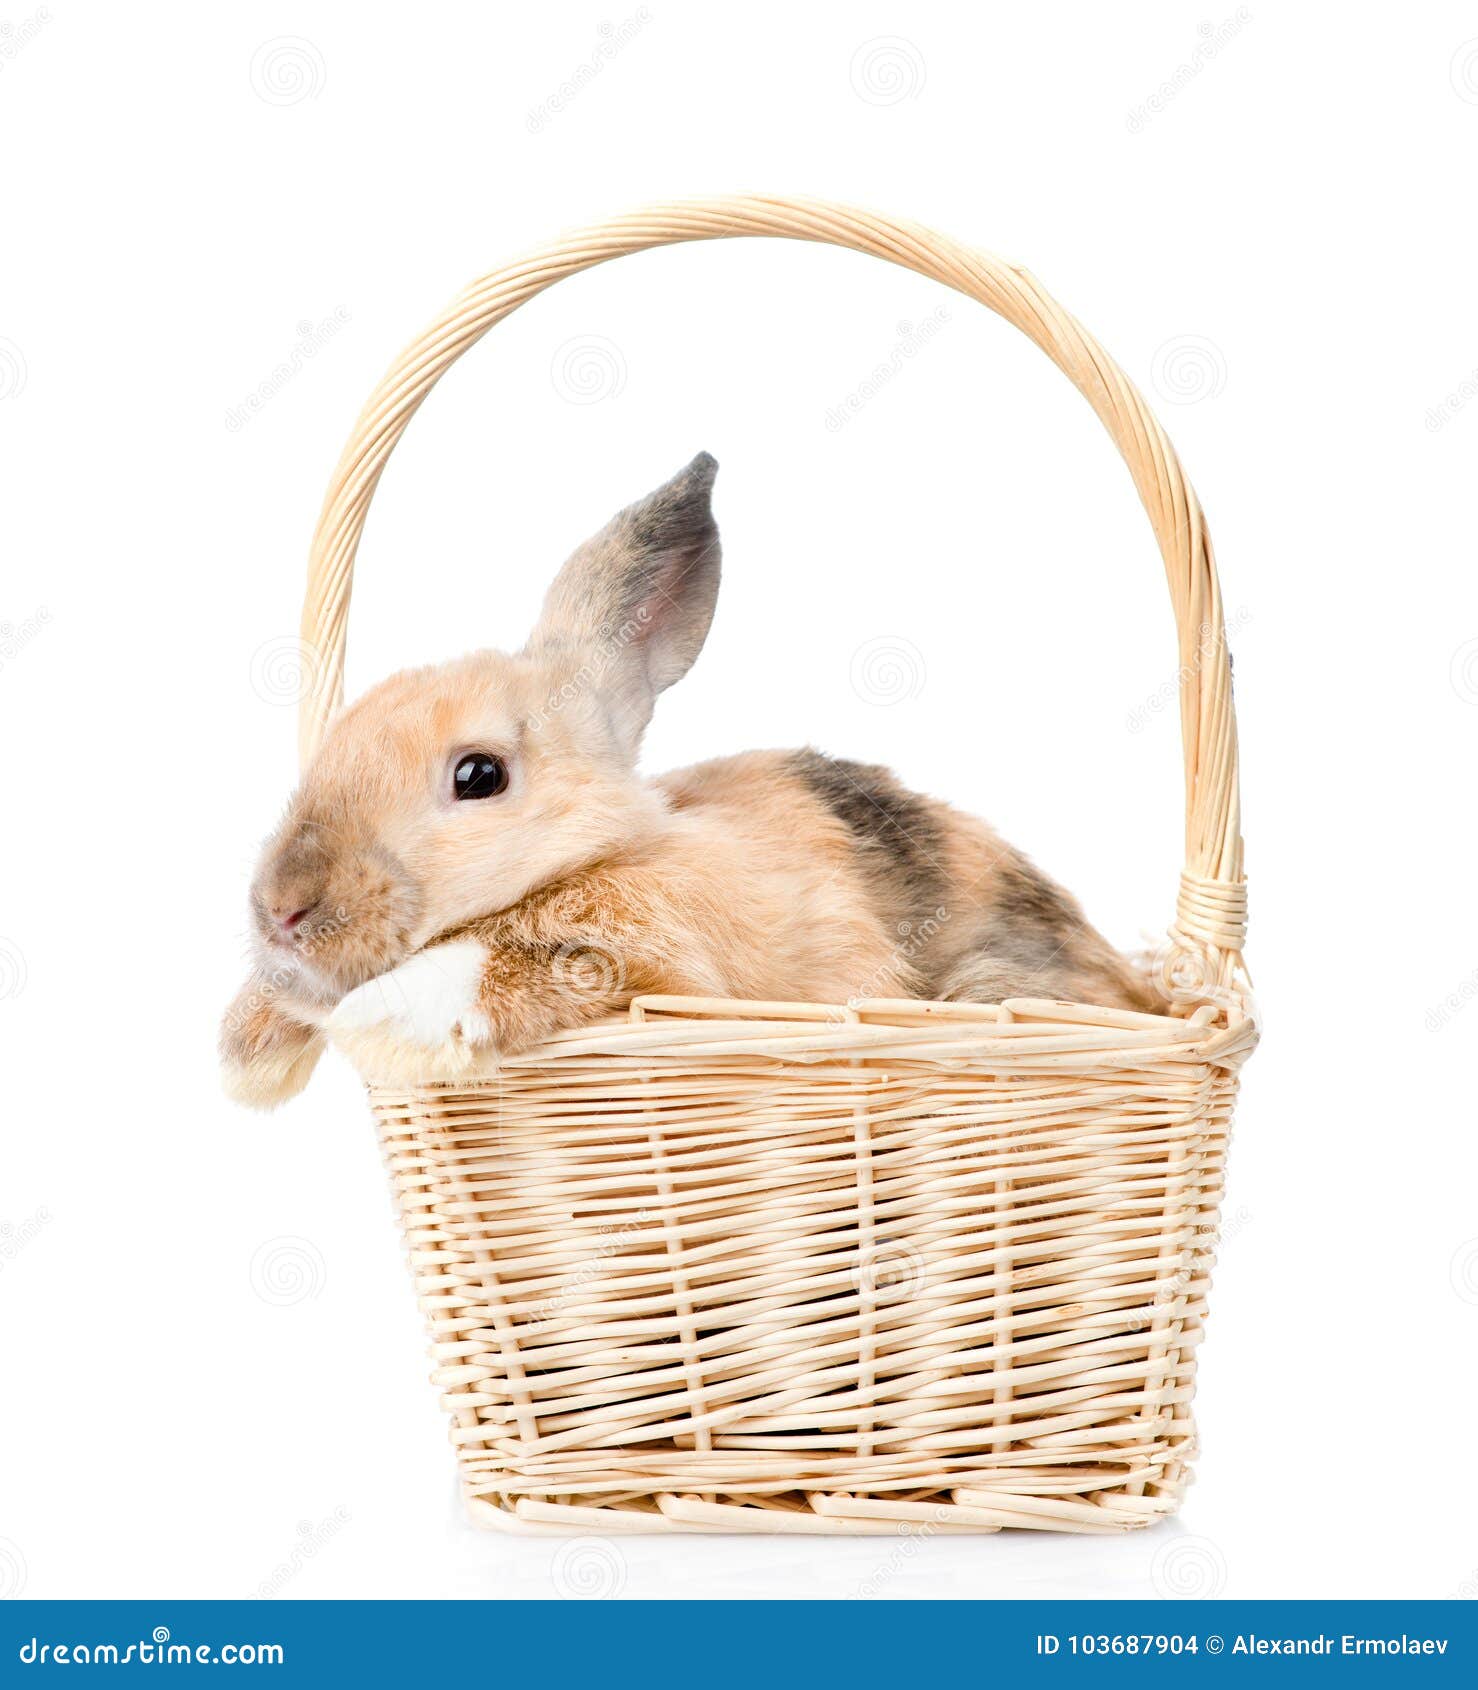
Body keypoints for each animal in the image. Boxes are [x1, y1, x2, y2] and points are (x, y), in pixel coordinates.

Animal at [221, 452, 1157, 1108]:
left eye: (479, 775)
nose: (282, 911)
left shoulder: (660, 965)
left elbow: (498, 966)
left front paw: (370, 1019)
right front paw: (252, 1045)